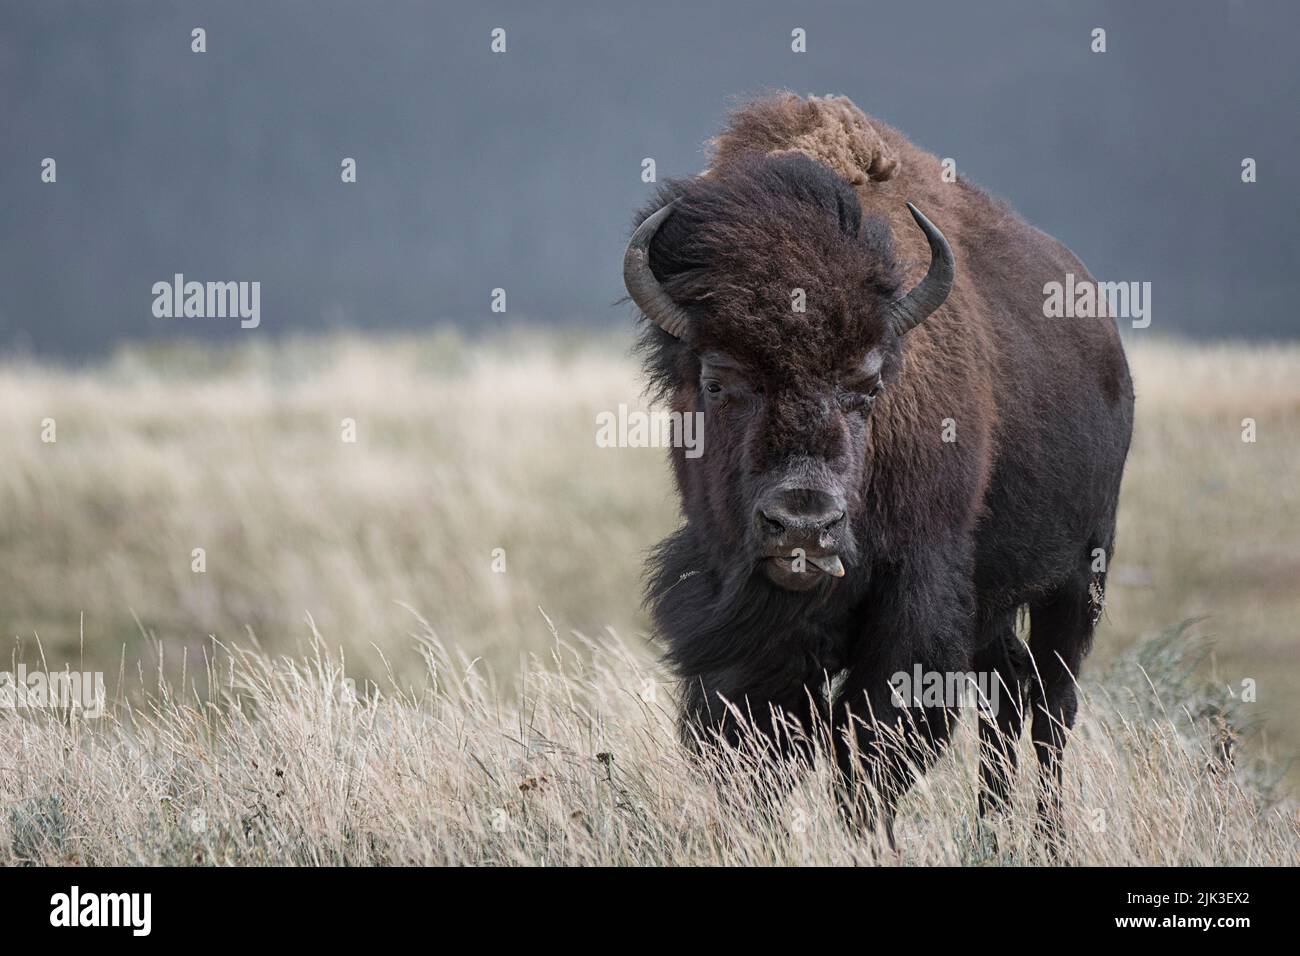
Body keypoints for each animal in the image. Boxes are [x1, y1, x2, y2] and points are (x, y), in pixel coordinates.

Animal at [624, 93, 1134, 845]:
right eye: (718, 382)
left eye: (866, 387)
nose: (803, 524)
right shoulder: (737, 609)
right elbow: (761, 735)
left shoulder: (917, 593)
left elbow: (875, 744)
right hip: (997, 601)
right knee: (1008, 695)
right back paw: (988, 831)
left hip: (1078, 575)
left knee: (1050, 707)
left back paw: (1046, 837)